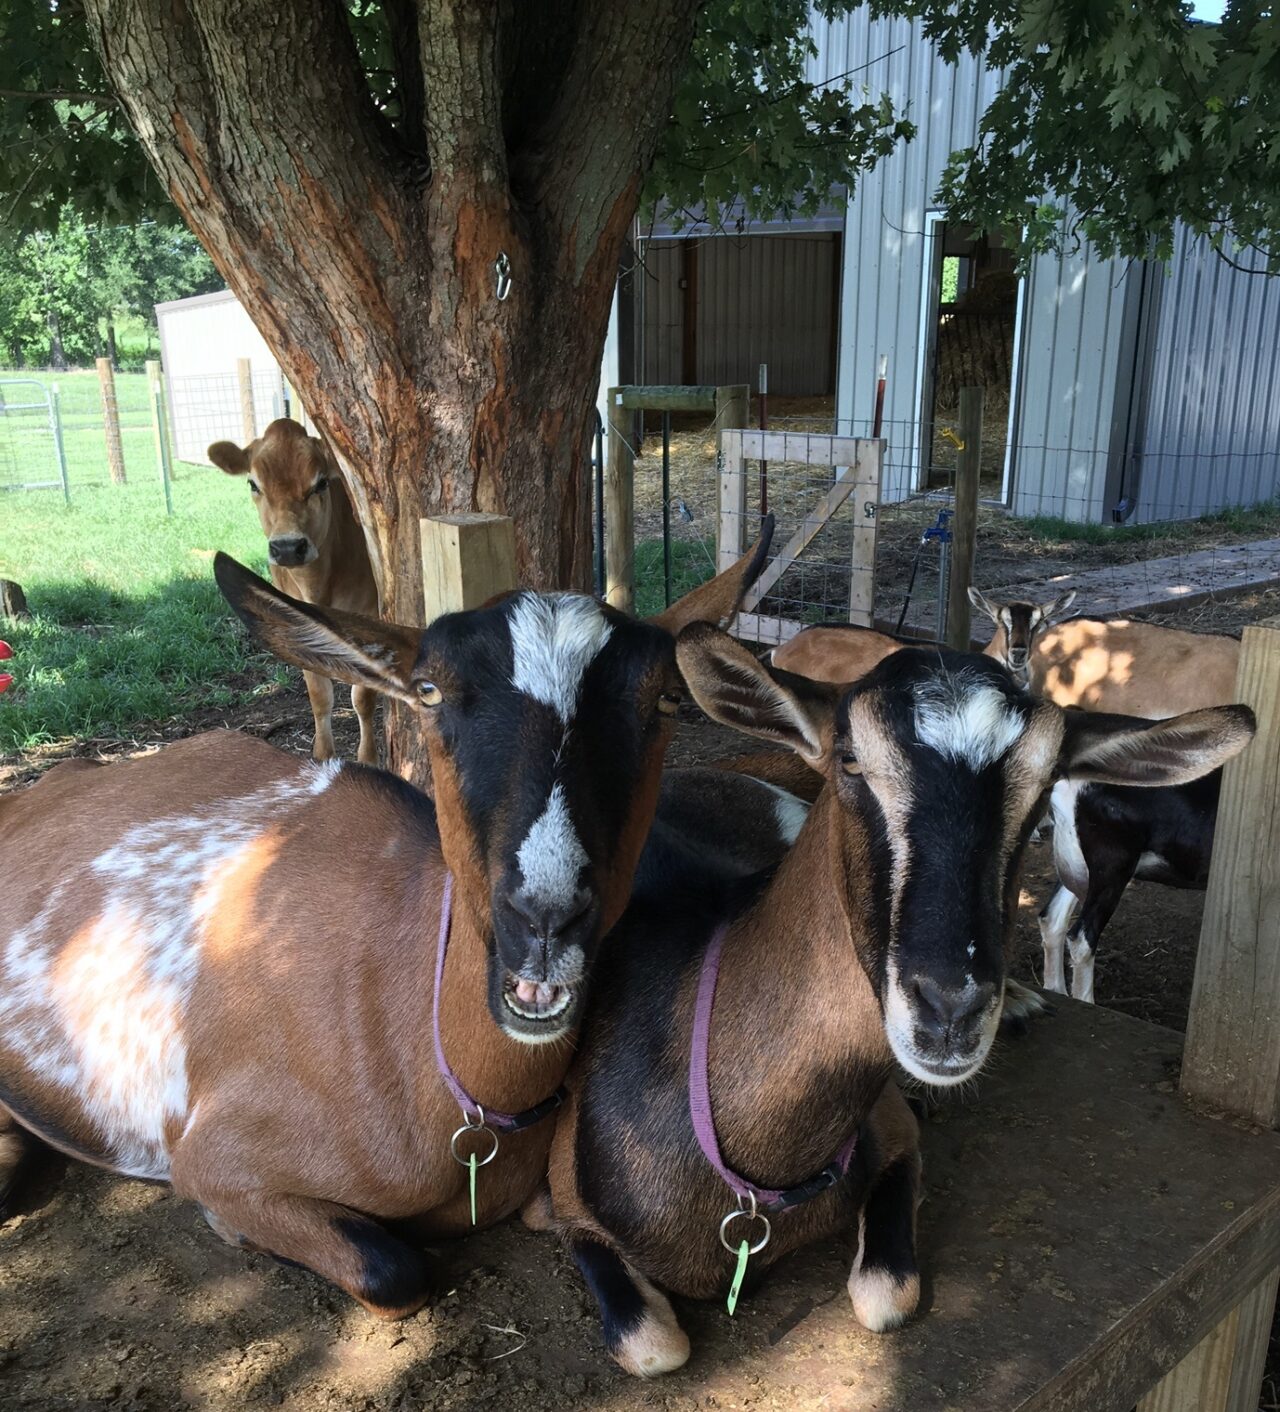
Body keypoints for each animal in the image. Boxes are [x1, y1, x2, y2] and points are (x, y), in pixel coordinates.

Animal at [0, 532, 771, 1319]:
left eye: (666, 697)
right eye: (427, 690)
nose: (546, 918)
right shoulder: (216, 1160)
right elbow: (392, 1270)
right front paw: (231, 1230)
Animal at [209, 419, 381, 766]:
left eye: (320, 483)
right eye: (253, 484)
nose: (288, 547)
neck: (317, 586)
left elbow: (362, 696)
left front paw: (368, 757)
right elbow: (319, 694)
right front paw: (323, 756)